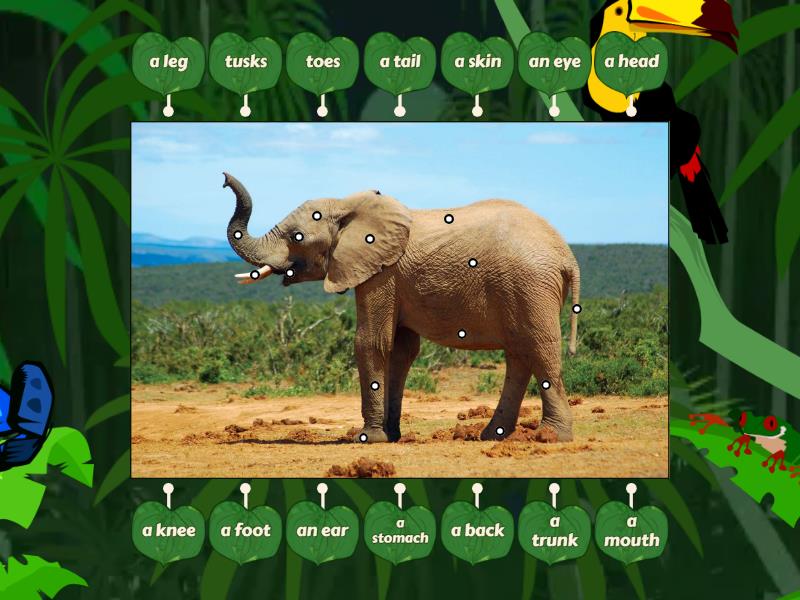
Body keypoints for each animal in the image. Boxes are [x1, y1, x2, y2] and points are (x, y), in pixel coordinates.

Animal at [222, 172, 581, 443]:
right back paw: (493, 436)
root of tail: (567, 256)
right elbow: (400, 350)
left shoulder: (381, 273)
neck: (347, 206)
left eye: (296, 237)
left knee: (538, 348)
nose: (224, 179)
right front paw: (389, 436)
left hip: (530, 285)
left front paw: (368, 439)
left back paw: (550, 437)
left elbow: (371, 342)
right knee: (519, 353)